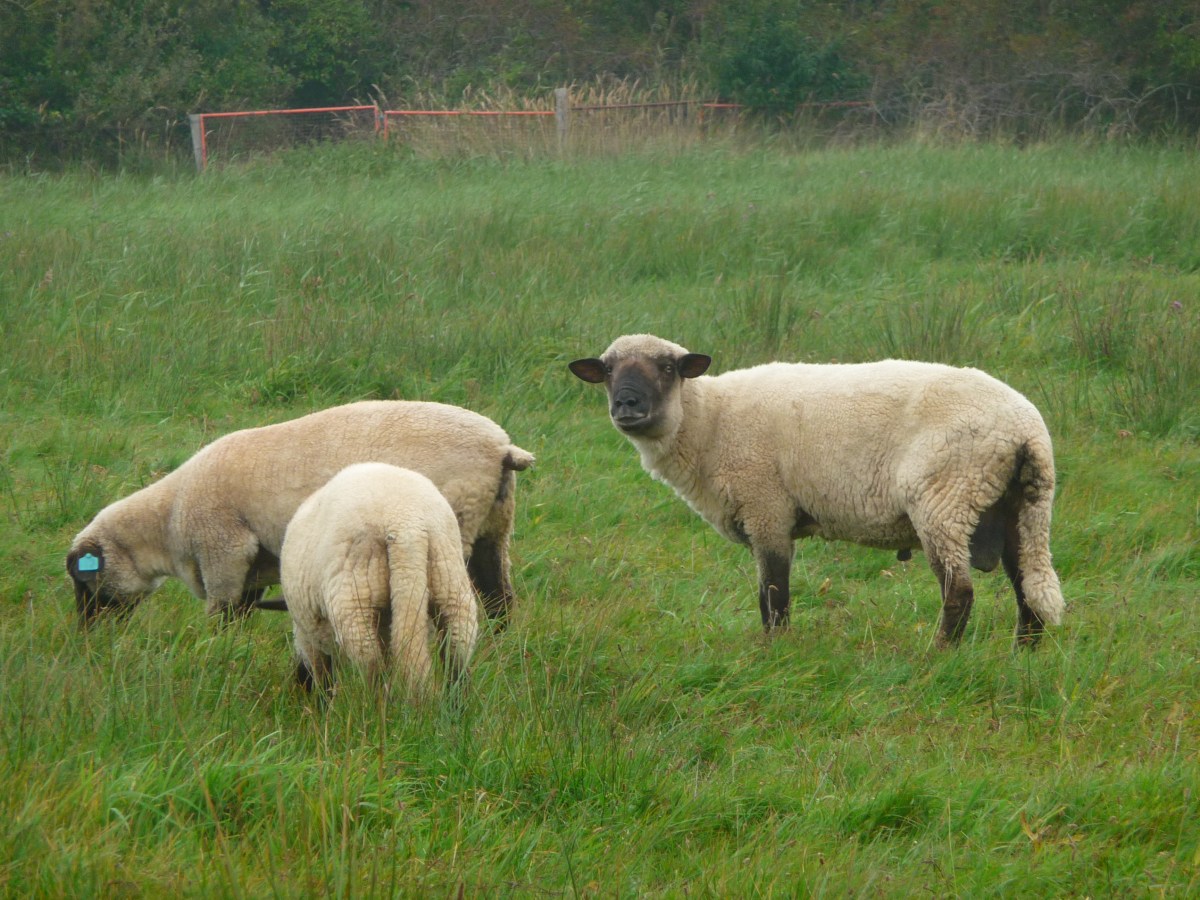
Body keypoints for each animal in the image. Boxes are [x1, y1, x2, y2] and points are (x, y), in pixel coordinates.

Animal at [66, 400, 534, 627]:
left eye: (83, 579)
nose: (88, 634)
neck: (167, 518)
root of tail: (502, 448)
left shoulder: (223, 549)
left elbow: (222, 613)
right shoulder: (253, 565)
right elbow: (241, 612)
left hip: (455, 521)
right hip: (494, 528)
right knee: (500, 599)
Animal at [281, 463, 479, 698]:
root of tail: (405, 521)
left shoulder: (311, 641)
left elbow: (324, 679)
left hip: (355, 594)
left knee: (370, 663)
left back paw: (371, 704)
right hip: (449, 578)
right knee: (457, 651)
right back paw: (456, 702)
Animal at [569, 334, 1064, 646]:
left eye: (668, 367)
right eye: (608, 370)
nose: (626, 405)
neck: (708, 422)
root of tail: (1026, 429)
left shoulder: (766, 508)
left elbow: (773, 596)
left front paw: (775, 651)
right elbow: (770, 595)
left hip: (946, 499)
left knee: (959, 593)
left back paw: (939, 655)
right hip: (1017, 507)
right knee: (1029, 592)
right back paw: (1024, 658)